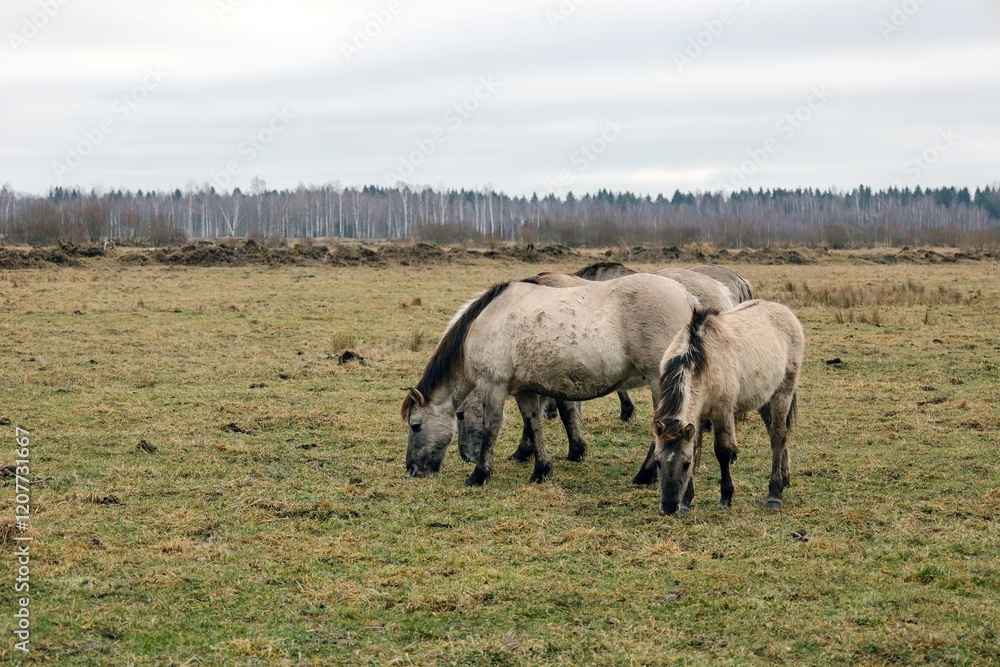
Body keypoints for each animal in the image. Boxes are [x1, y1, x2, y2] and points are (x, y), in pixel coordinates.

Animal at [403, 273, 697, 486]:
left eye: (415, 426)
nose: (412, 469)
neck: (485, 322)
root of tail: (688, 296)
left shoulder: (492, 386)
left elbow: (491, 428)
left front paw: (479, 474)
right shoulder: (525, 391)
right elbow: (534, 426)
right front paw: (541, 471)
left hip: (659, 381)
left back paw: (644, 475)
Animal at [645, 300, 804, 514]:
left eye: (686, 464)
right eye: (658, 462)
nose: (669, 507)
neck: (700, 359)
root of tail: (784, 311)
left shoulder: (722, 412)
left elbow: (723, 451)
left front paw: (726, 497)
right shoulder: (698, 416)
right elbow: (695, 446)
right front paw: (687, 500)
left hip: (782, 394)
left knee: (778, 436)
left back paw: (774, 493)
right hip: (764, 399)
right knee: (775, 434)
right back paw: (785, 477)